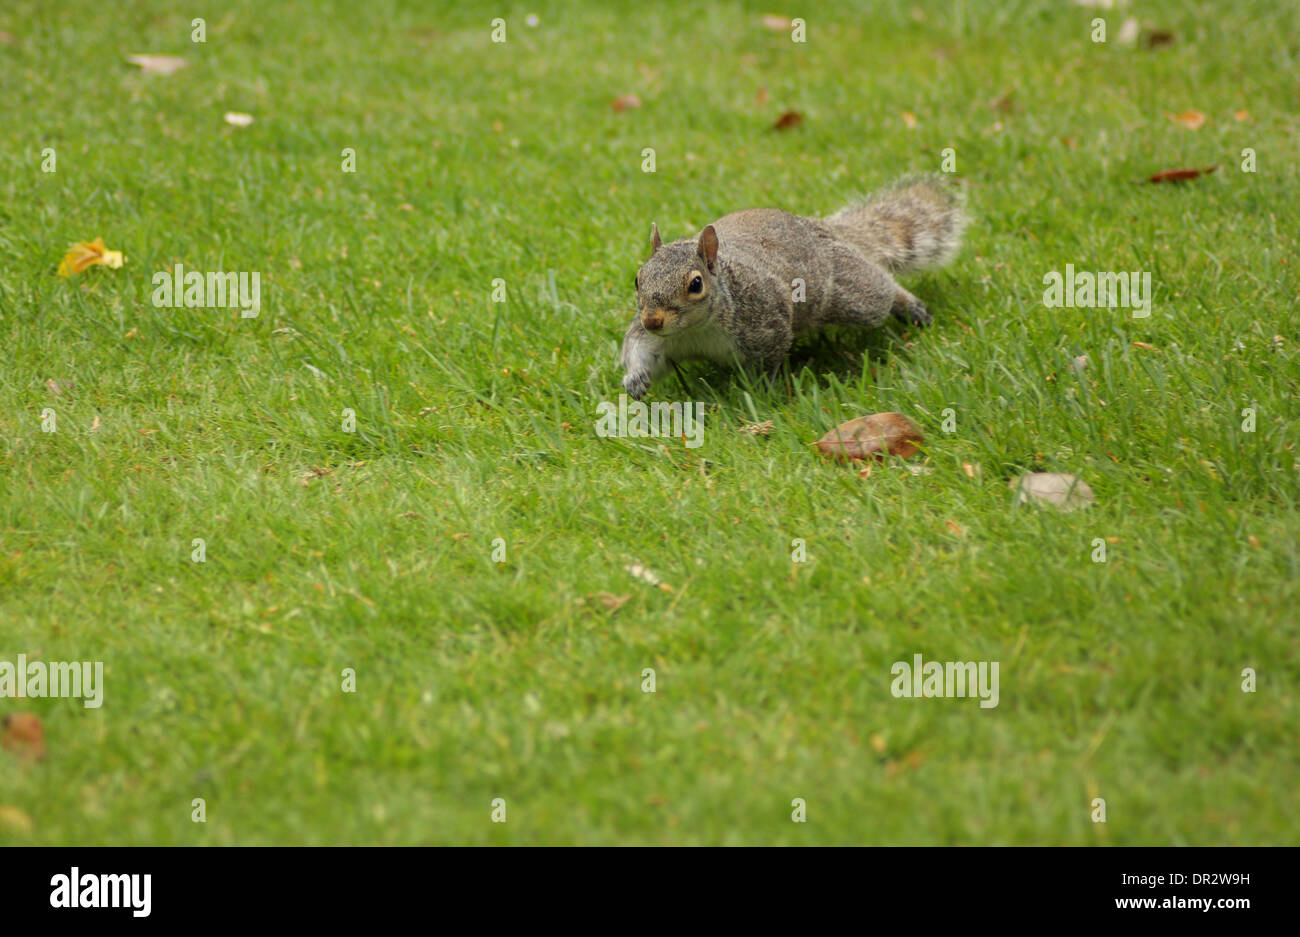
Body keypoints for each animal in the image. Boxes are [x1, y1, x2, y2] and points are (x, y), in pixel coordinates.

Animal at [619, 174, 967, 399]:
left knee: (881, 289)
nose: (652, 320)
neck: (694, 330)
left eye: (695, 284)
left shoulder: (764, 325)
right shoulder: (659, 341)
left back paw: (910, 306)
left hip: (851, 294)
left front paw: (761, 393)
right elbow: (641, 350)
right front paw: (635, 379)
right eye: (638, 279)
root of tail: (823, 228)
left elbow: (769, 360)